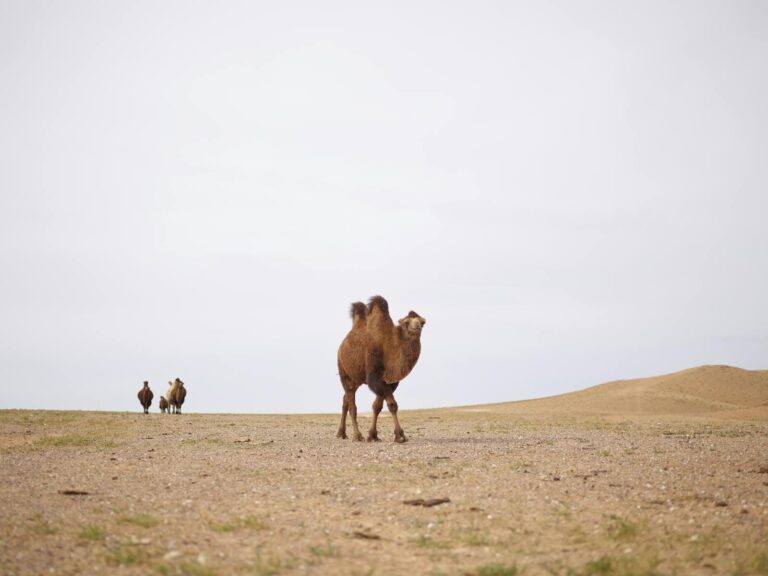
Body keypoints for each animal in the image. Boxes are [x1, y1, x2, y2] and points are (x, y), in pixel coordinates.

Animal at [337, 295, 426, 443]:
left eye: (422, 322)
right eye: (406, 322)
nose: (417, 327)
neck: (390, 347)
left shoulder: (390, 380)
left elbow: (377, 406)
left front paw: (373, 435)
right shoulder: (374, 375)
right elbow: (392, 404)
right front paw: (400, 435)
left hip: (356, 379)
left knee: (346, 400)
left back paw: (341, 433)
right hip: (344, 372)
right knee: (352, 405)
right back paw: (357, 435)